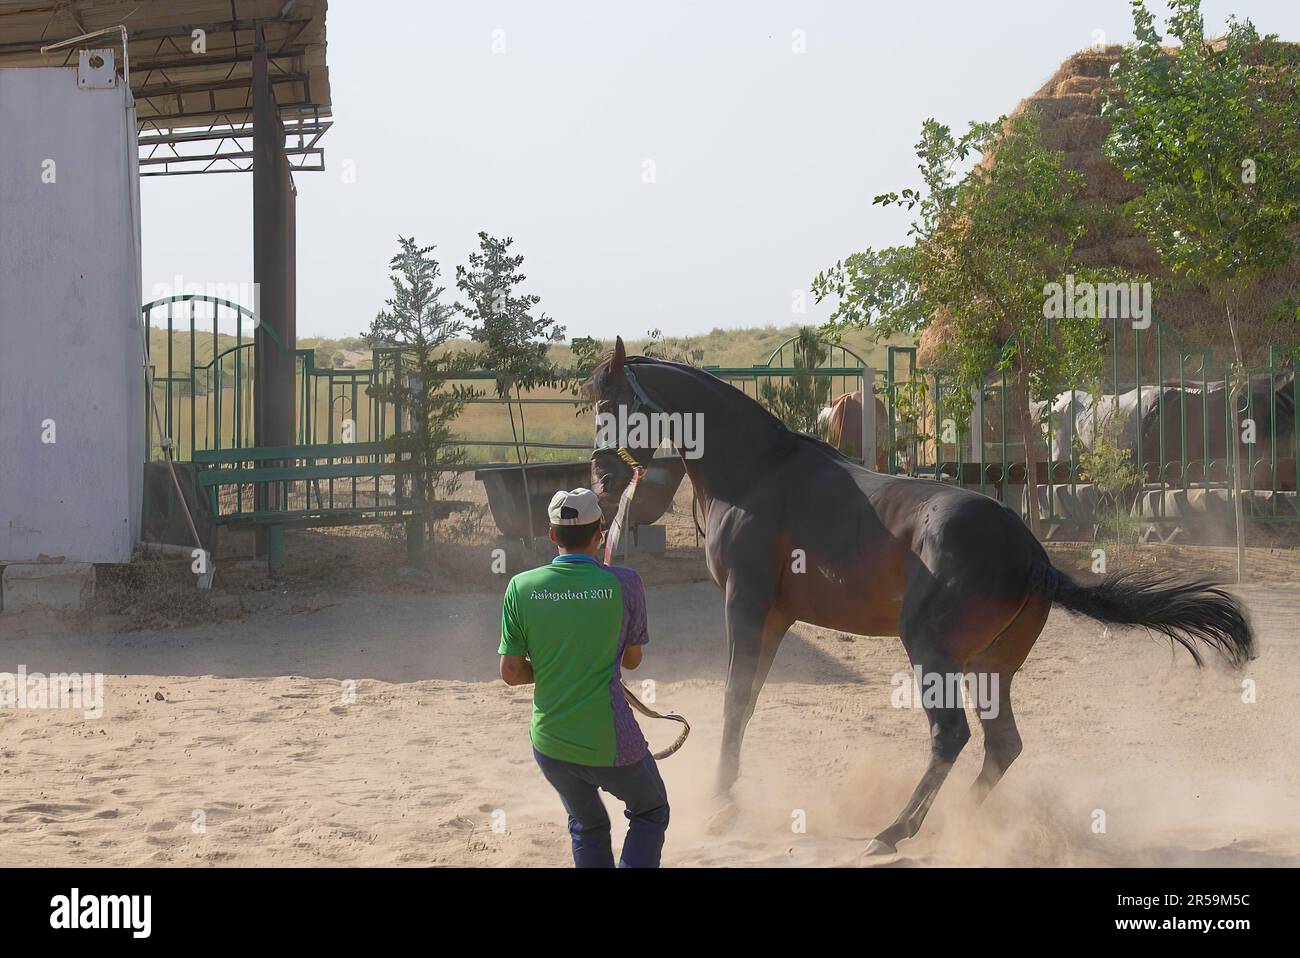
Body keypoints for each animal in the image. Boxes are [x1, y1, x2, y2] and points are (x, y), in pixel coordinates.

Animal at [586, 339, 1254, 857]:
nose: (602, 477)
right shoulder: (775, 617)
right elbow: (745, 702)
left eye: (611, 404)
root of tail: (1030, 553)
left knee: (951, 736)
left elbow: (732, 701)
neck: (756, 473)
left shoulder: (746, 605)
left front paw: (721, 803)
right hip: (988, 665)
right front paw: (724, 796)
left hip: (931, 650)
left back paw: (895, 831)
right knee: (1002, 744)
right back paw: (957, 822)